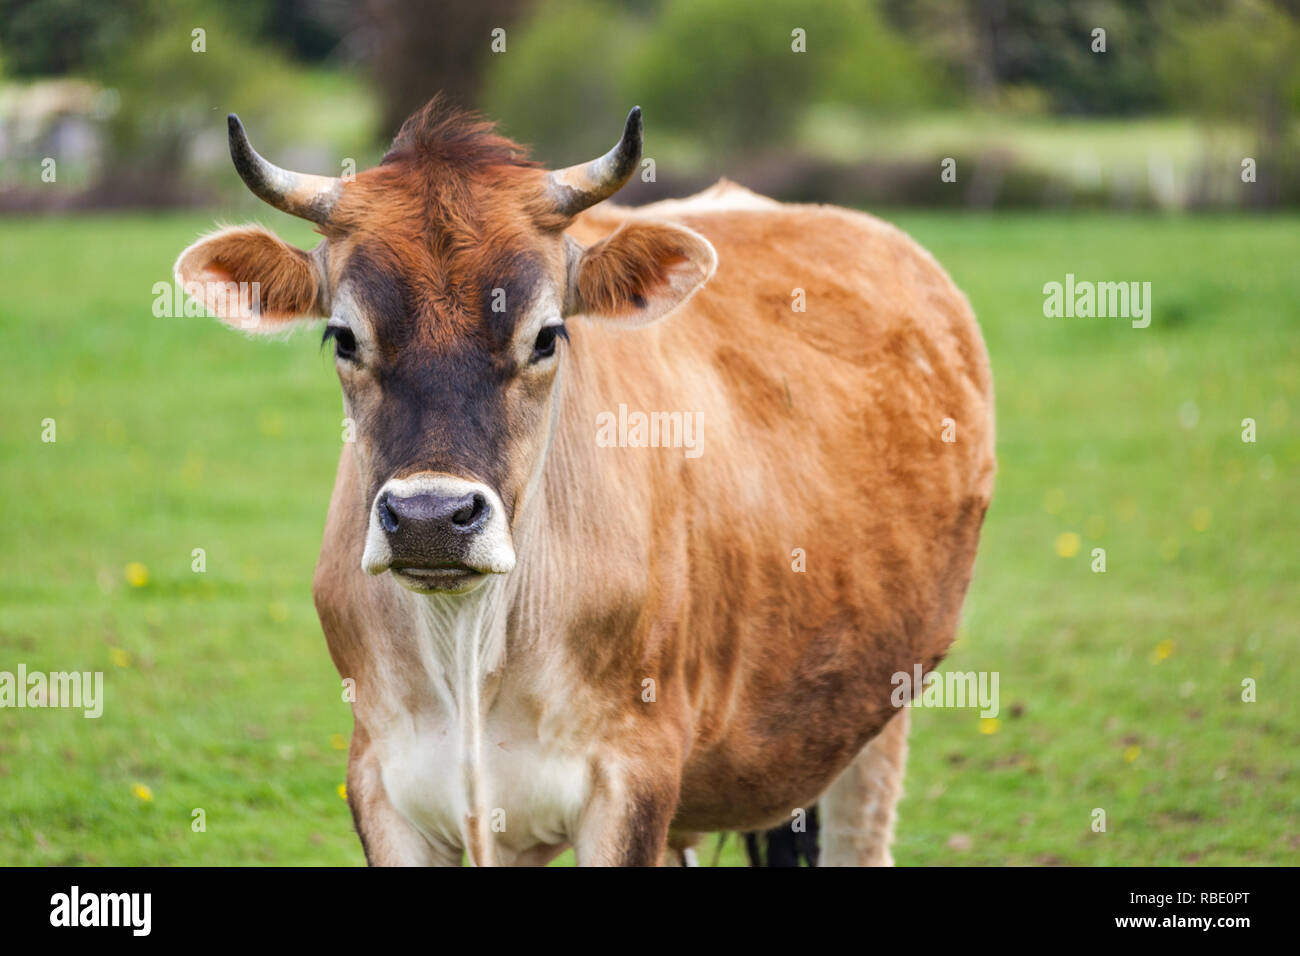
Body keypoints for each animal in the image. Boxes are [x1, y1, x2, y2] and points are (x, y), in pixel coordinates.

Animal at [174, 96, 995, 866]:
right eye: (344, 337)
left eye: (545, 336)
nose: (433, 518)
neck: (470, 648)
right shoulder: (383, 783)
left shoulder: (632, 781)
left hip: (877, 720)